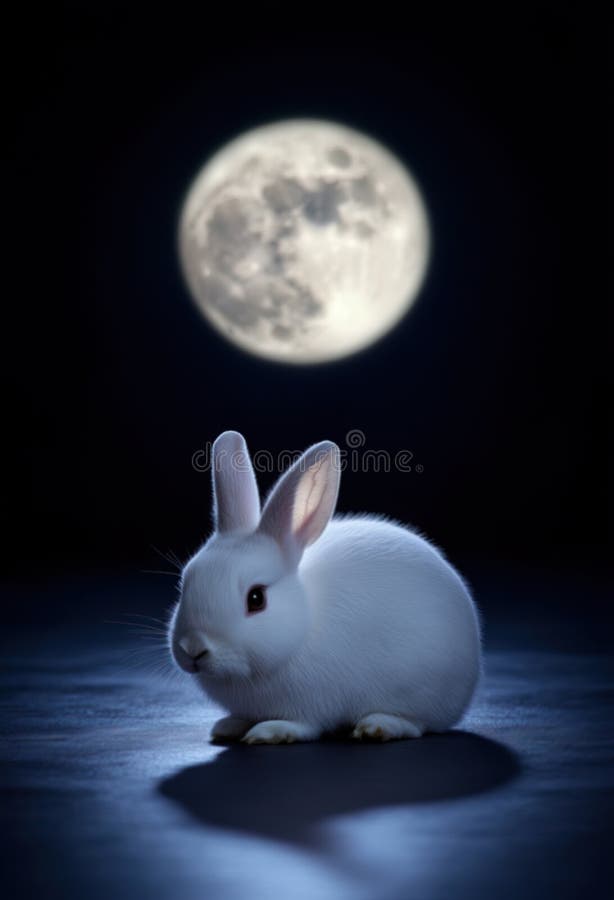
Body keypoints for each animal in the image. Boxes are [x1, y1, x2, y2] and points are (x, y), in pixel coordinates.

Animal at [168, 430, 482, 744]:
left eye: (256, 599)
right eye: (185, 583)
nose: (193, 648)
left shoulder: (311, 704)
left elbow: (302, 725)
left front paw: (269, 731)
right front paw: (229, 725)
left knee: (418, 724)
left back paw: (378, 726)